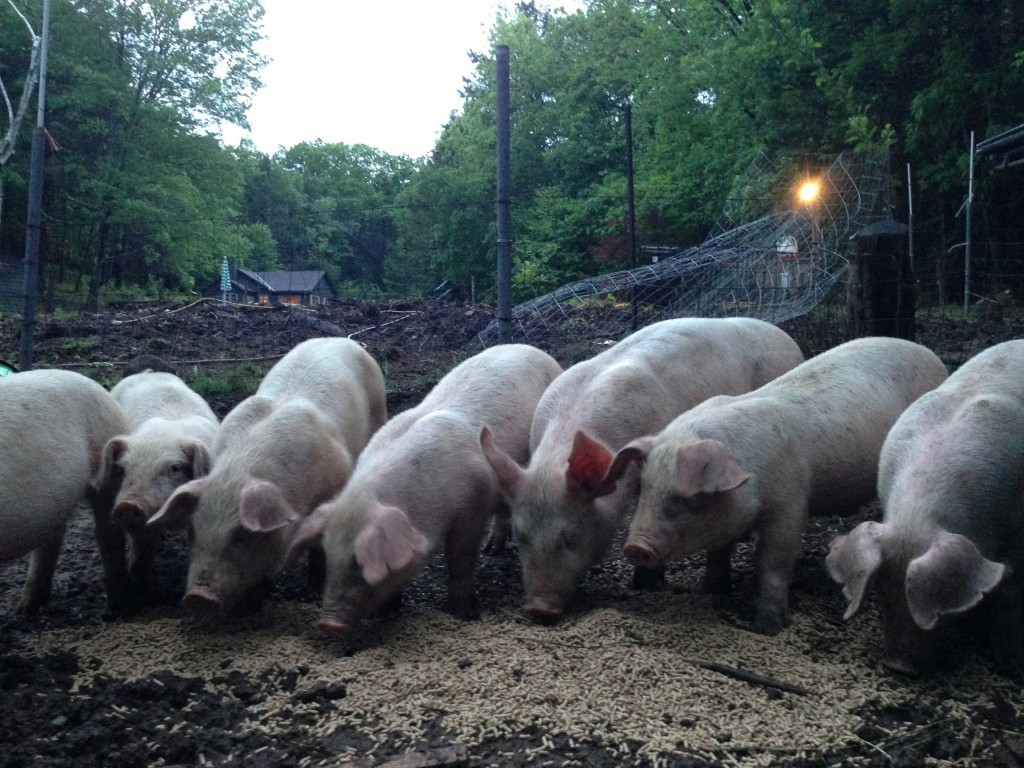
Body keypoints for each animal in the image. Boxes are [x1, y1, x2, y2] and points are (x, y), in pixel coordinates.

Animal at [90, 371, 220, 610]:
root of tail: (148, 372)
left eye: (175, 468)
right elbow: (142, 550)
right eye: (122, 469)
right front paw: (141, 594)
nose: (128, 505)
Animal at [148, 337, 387, 614]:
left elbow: (318, 543)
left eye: (241, 536)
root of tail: (341, 339)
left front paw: (313, 593)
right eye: (192, 531)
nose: (198, 596)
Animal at [290, 343, 562, 636]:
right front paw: (387, 612)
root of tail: (531, 348)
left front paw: (464, 614)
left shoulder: (471, 508)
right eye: (330, 557)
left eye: (359, 563)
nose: (328, 624)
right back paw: (492, 550)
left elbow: (459, 560)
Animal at [611, 336, 949, 636]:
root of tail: (930, 354)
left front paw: (767, 628)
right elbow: (718, 551)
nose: (635, 546)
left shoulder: (791, 500)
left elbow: (772, 560)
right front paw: (711, 593)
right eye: (642, 489)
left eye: (686, 498)